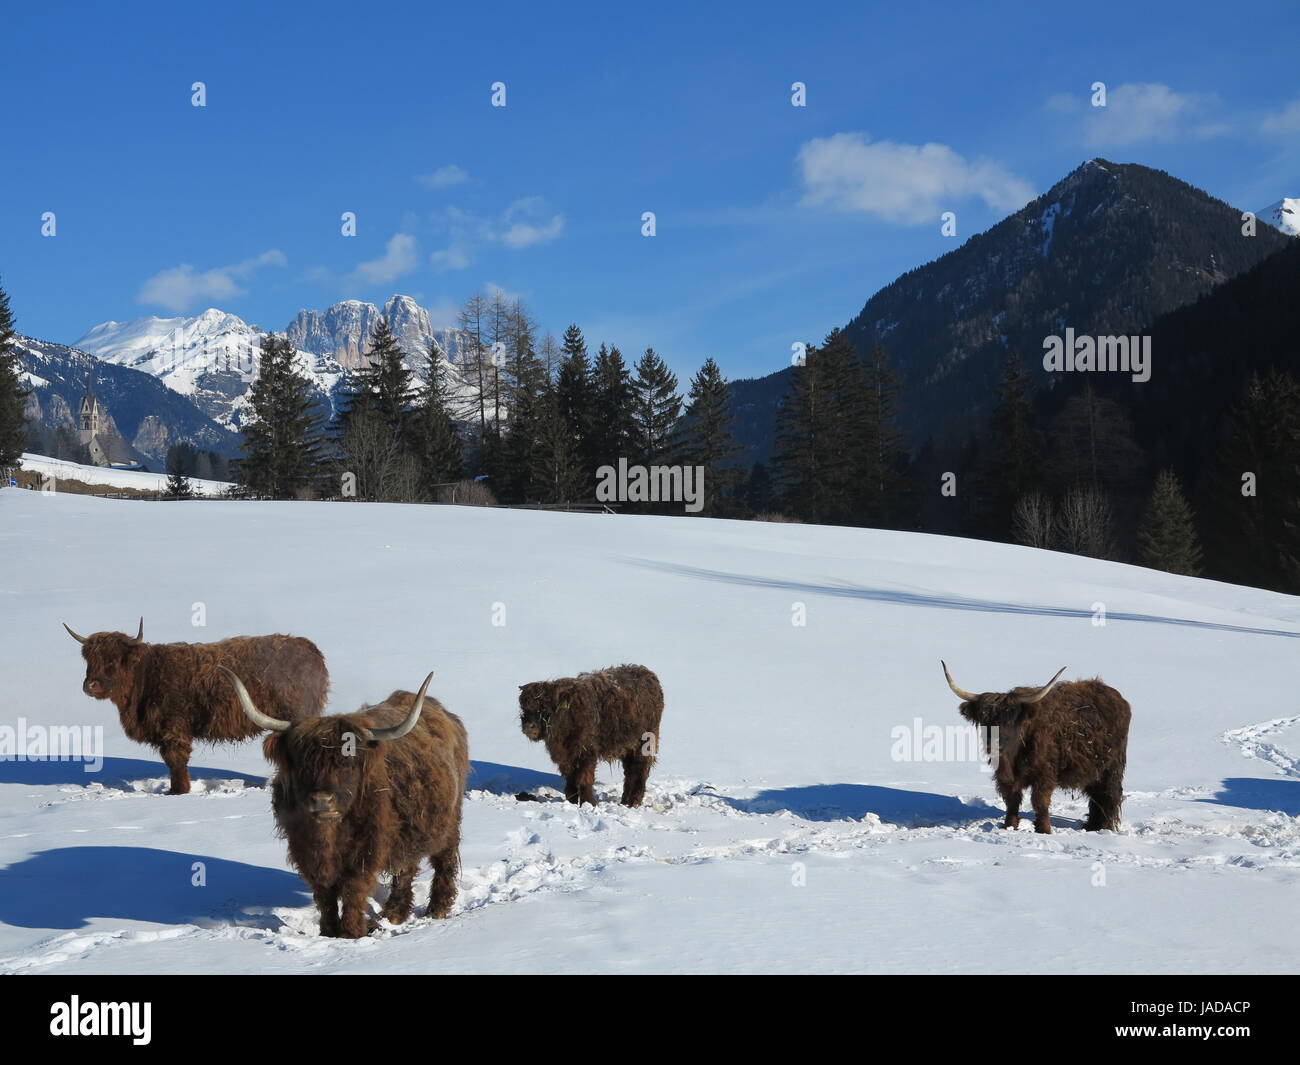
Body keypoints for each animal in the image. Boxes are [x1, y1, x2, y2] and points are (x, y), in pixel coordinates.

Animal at [63, 618, 328, 794]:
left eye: (113, 660)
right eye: (89, 660)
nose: (90, 685)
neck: (147, 676)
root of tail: (310, 649)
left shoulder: (173, 730)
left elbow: (176, 761)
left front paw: (177, 792)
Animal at [220, 667, 469, 939]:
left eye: (347, 763)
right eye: (303, 763)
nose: (321, 800)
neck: (329, 834)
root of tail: (445, 714)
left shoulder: (366, 849)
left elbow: (353, 888)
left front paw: (352, 932)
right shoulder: (306, 850)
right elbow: (324, 893)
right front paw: (328, 931)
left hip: (450, 820)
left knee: (443, 859)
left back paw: (437, 908)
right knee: (406, 866)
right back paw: (394, 913)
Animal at [518, 664, 663, 807]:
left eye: (545, 708)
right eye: (524, 708)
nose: (529, 726)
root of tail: (648, 674)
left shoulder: (586, 753)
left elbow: (584, 779)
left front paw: (588, 803)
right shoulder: (566, 757)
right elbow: (570, 780)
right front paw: (572, 801)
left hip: (645, 743)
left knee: (640, 770)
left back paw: (634, 802)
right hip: (628, 747)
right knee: (630, 773)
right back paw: (625, 801)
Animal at [942, 661, 1130, 833]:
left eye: (1011, 719)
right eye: (984, 719)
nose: (995, 743)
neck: (1013, 756)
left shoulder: (1044, 775)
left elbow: (1040, 801)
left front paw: (1044, 830)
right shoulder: (1004, 776)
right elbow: (1012, 800)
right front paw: (1009, 826)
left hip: (1112, 767)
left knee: (1109, 795)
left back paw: (1104, 828)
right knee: (1096, 796)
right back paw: (1091, 826)